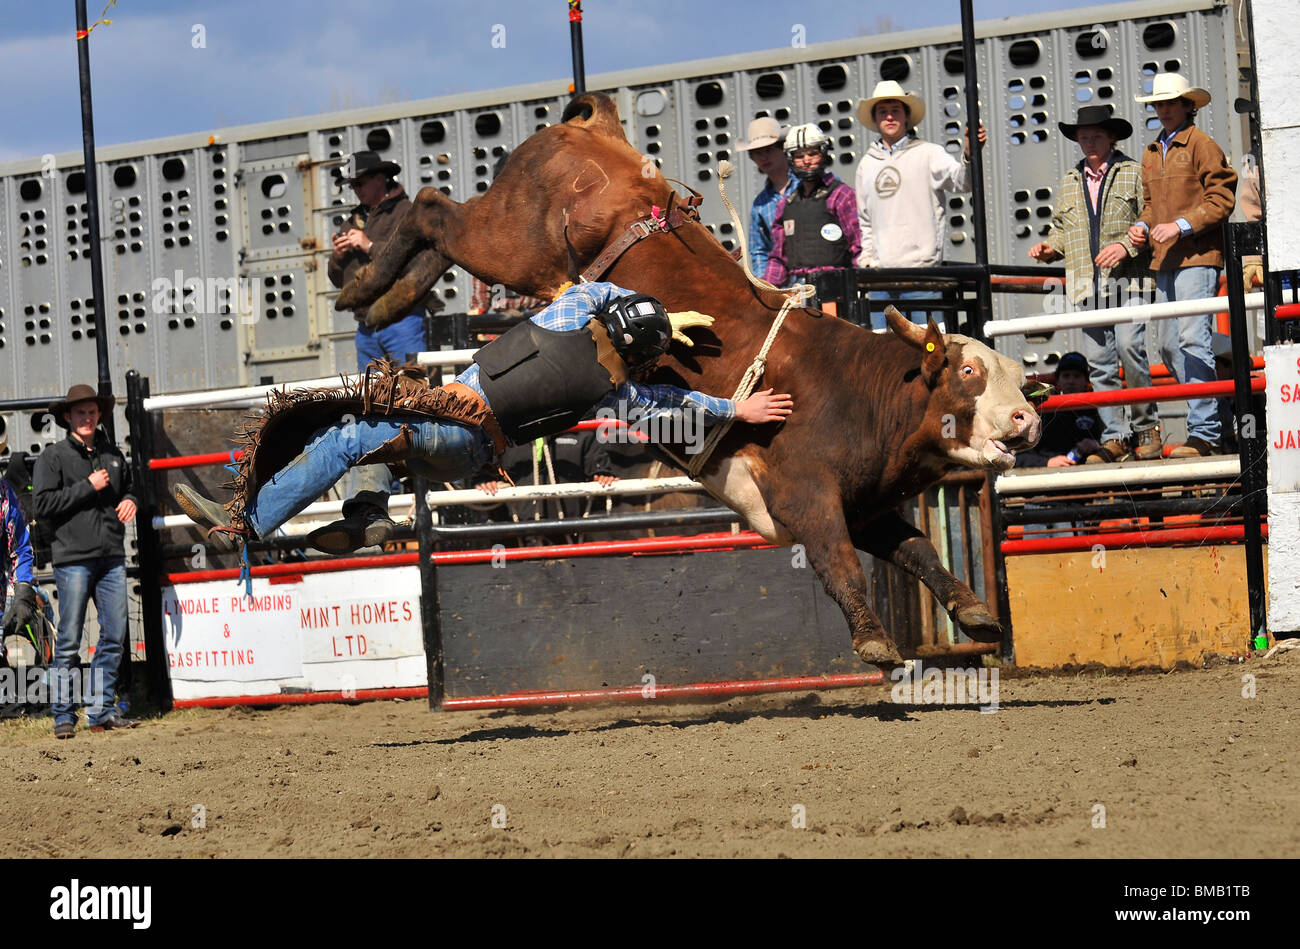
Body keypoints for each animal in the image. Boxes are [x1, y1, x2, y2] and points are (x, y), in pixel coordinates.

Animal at [336, 93, 1041, 668]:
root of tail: (592, 130)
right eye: (969, 371)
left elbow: (918, 549)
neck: (859, 390)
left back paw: (384, 299)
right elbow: (841, 563)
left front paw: (976, 612)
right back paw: (369, 288)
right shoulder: (805, 495)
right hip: (505, 240)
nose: (1028, 418)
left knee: (431, 225)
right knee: (432, 211)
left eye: (1017, 374)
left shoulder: (865, 505)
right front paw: (875, 643)